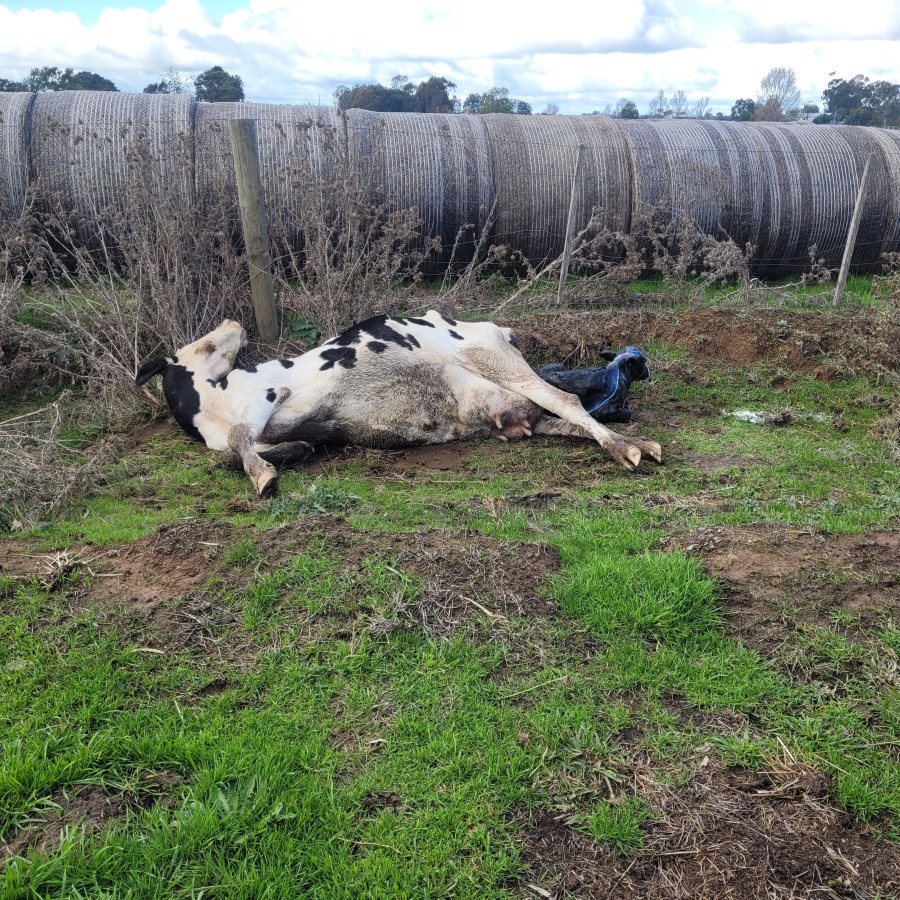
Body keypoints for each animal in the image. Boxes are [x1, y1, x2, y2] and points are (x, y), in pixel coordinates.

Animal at [135, 311, 662, 498]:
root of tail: (494, 327)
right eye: (205, 344)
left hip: (495, 361)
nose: (233, 322)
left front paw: (264, 474)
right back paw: (634, 441)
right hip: (509, 403)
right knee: (560, 420)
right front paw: (291, 454)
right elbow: (235, 450)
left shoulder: (269, 393)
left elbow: (240, 441)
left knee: (566, 399)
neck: (213, 407)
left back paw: (626, 447)